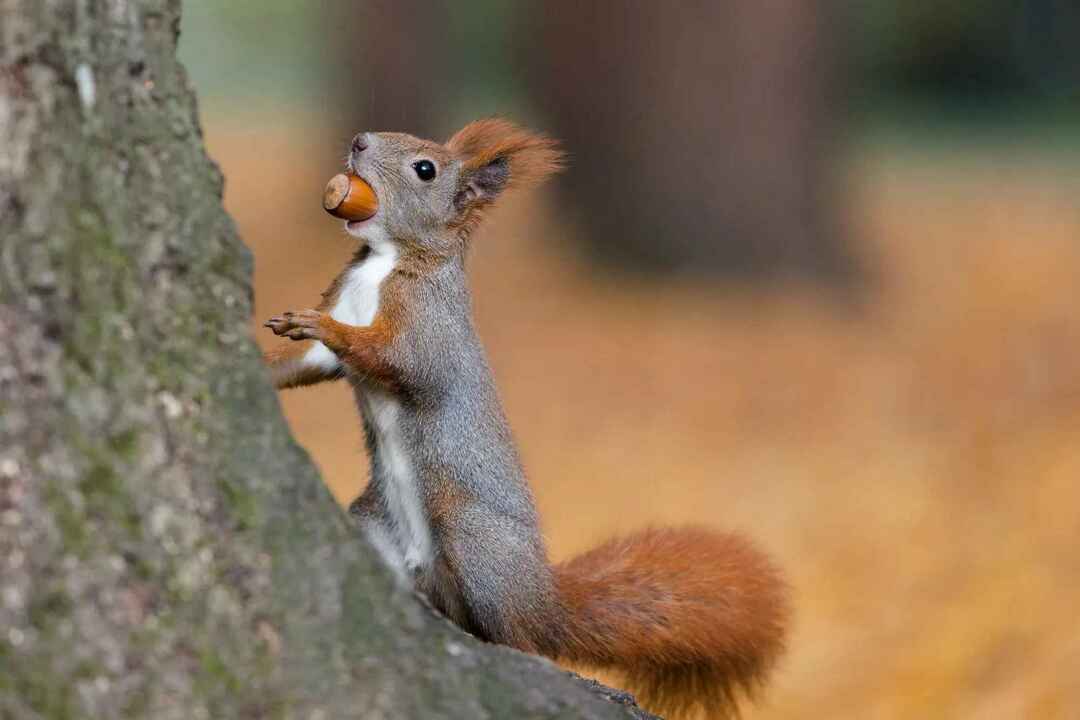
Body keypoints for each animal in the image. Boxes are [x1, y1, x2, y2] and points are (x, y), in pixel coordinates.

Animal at [261, 119, 786, 720]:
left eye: (425, 169)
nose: (360, 141)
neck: (381, 261)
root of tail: (542, 603)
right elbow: (307, 365)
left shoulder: (428, 329)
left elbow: (394, 360)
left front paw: (317, 323)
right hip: (375, 526)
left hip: (473, 538)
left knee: (523, 639)